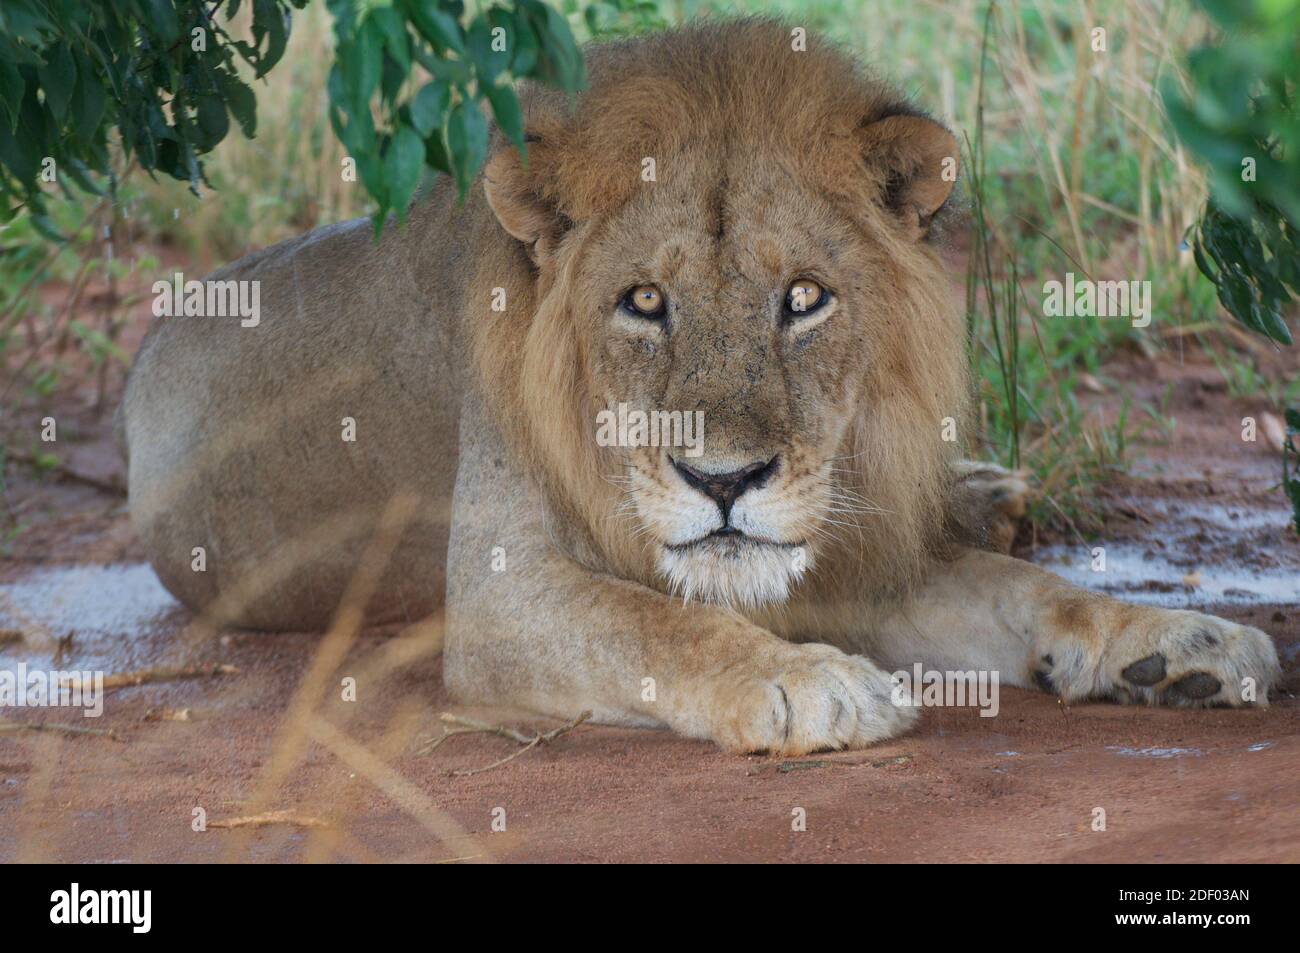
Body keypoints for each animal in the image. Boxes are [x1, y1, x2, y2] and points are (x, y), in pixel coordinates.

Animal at [119, 19, 1280, 754]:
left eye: (803, 297)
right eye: (642, 301)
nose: (725, 483)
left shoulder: (842, 554)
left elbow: (1024, 590)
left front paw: (1177, 642)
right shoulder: (500, 598)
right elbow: (655, 622)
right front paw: (805, 680)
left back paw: (985, 496)